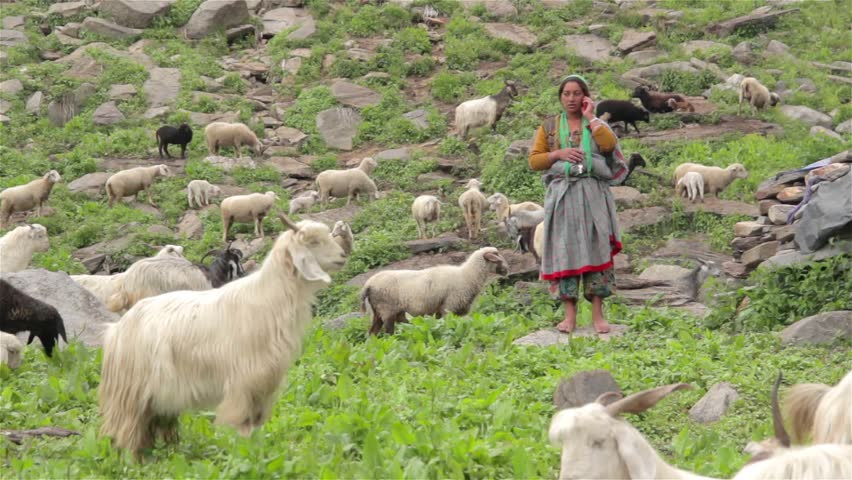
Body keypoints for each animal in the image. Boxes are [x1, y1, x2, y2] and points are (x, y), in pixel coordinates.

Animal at [98, 214, 347, 458]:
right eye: (313, 242)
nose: (343, 255)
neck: (268, 299)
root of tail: (116, 330)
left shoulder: (263, 387)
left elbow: (255, 427)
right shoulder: (242, 383)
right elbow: (238, 426)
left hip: (158, 400)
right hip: (130, 396)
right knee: (129, 434)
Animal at [360, 246, 509, 335]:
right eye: (497, 259)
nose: (507, 270)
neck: (467, 275)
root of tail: (368, 284)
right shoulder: (449, 307)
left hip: (378, 312)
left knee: (372, 333)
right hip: (387, 310)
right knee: (388, 332)